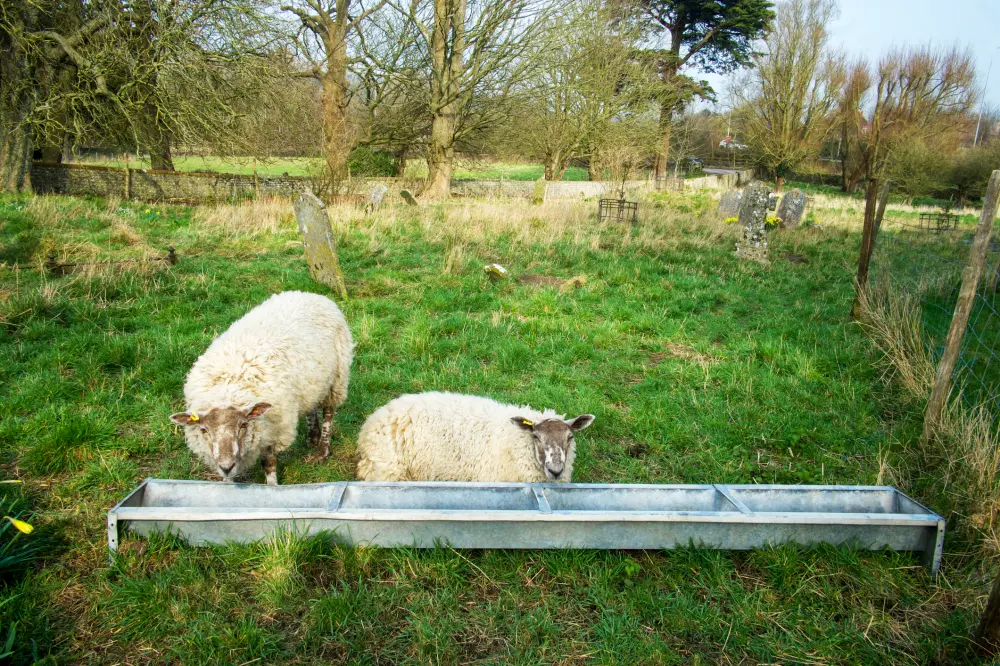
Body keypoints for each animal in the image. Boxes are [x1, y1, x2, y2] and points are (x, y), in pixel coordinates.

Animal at [170, 290, 353, 485]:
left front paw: (272, 484)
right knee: (311, 406)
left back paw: (322, 450)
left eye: (243, 425)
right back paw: (313, 437)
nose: (226, 466)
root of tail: (309, 293)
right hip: (312, 382)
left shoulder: (273, 430)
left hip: (337, 378)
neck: (228, 387)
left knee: (328, 412)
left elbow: (268, 462)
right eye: (204, 430)